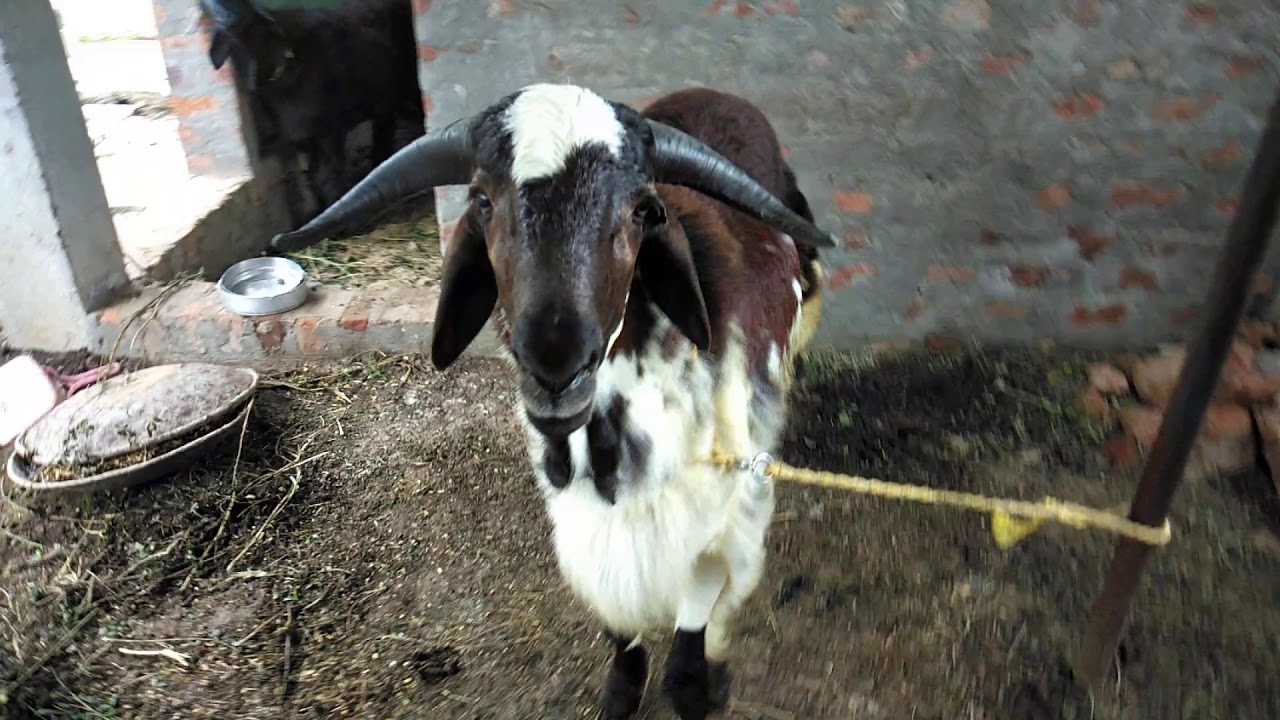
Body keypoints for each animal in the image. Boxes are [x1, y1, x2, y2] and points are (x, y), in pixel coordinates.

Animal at [197, 0, 424, 215]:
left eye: (251, 13)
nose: (231, 17)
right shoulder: (298, 138)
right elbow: (310, 178)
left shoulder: (329, 129)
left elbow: (329, 174)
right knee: (384, 128)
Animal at [270, 83, 835, 719]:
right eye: (482, 201)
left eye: (643, 211)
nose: (556, 367)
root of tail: (712, 92)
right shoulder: (581, 513)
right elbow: (614, 611)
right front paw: (623, 688)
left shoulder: (731, 493)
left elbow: (702, 591)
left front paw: (695, 682)